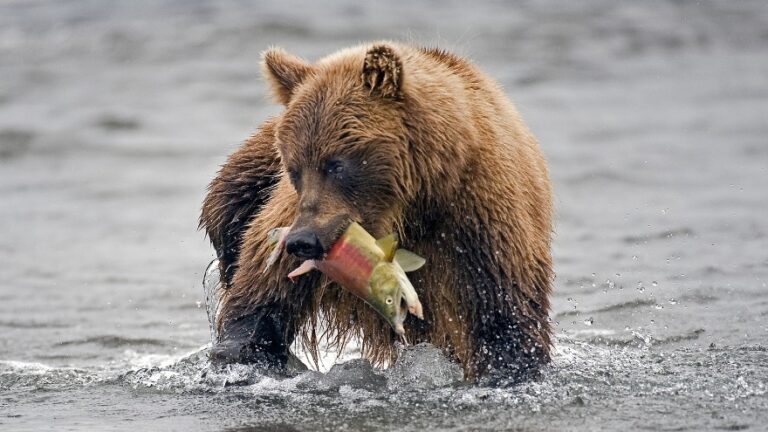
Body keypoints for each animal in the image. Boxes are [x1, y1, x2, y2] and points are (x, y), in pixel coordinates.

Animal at [200, 42, 553, 381]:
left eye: (336, 164)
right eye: (294, 168)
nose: (304, 241)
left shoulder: (481, 220)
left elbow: (505, 317)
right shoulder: (292, 219)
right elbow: (262, 294)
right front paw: (241, 353)